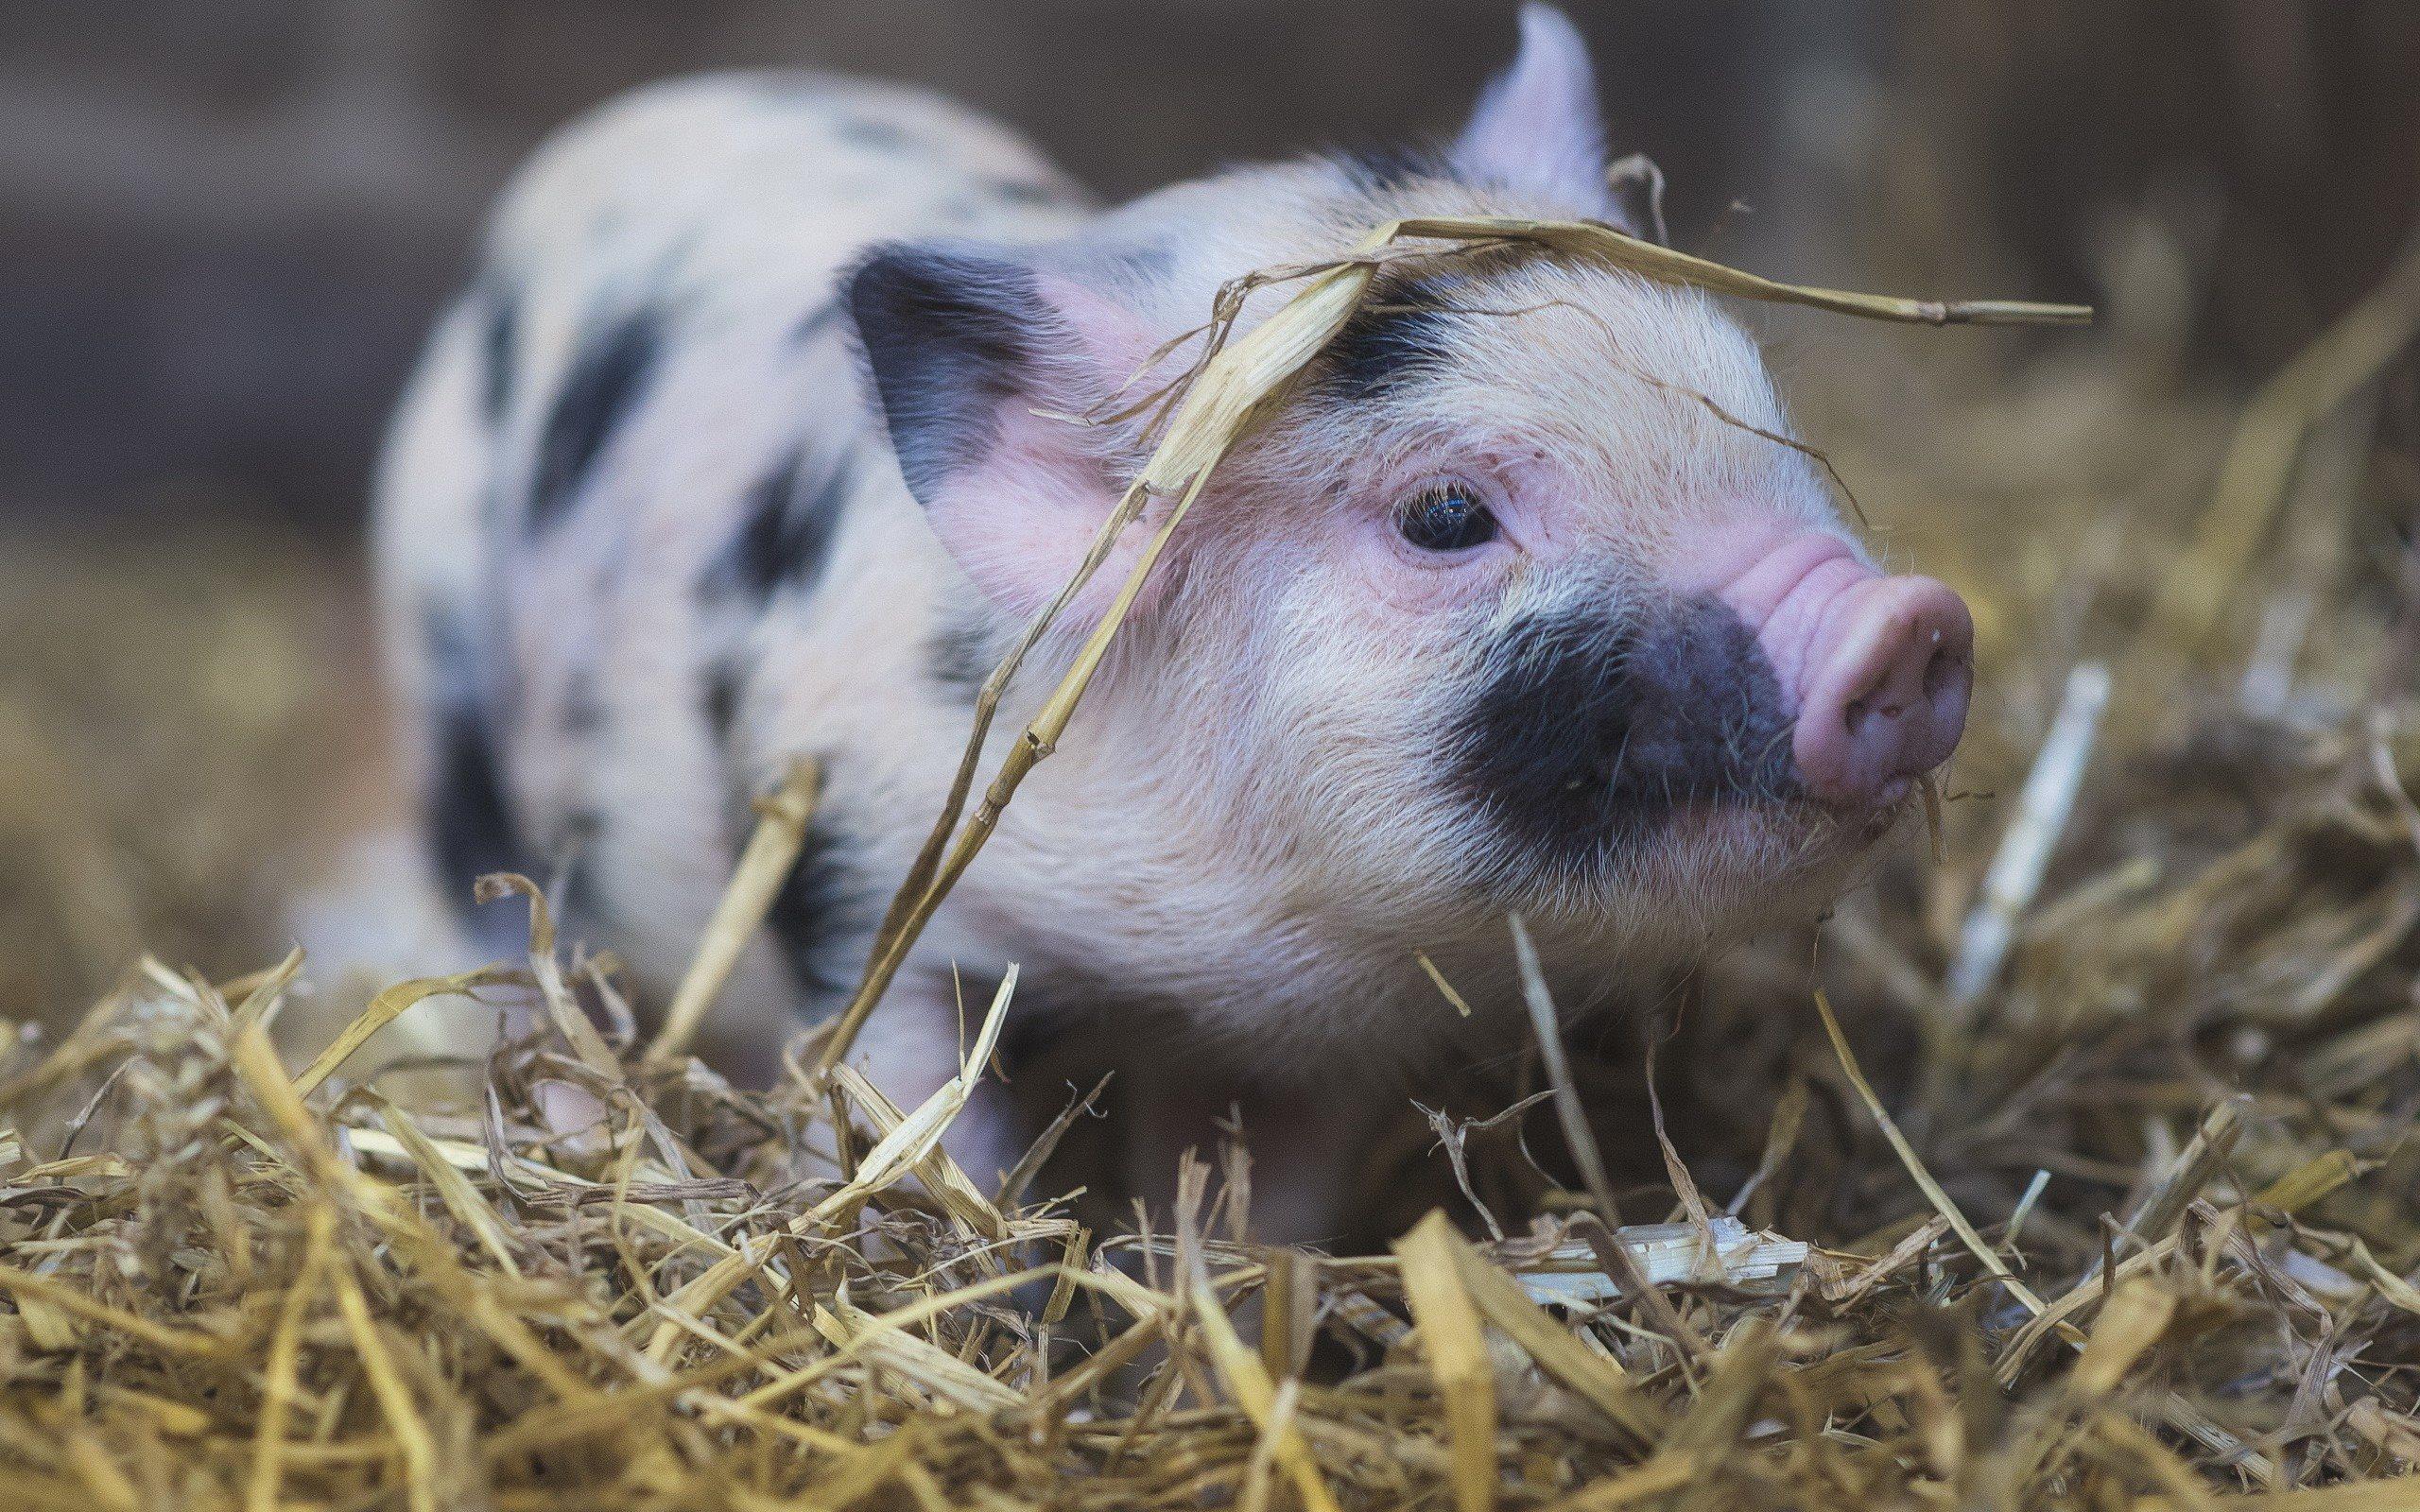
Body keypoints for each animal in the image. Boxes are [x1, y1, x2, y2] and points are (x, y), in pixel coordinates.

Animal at [367, 4, 1972, 1242]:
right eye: (1447, 514)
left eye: (1762, 409)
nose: (1905, 625)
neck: (1179, 941)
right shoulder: (863, 889)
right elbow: (914, 1131)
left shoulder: (1312, 1042)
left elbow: (1255, 1220)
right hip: (444, 685)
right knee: (505, 937)